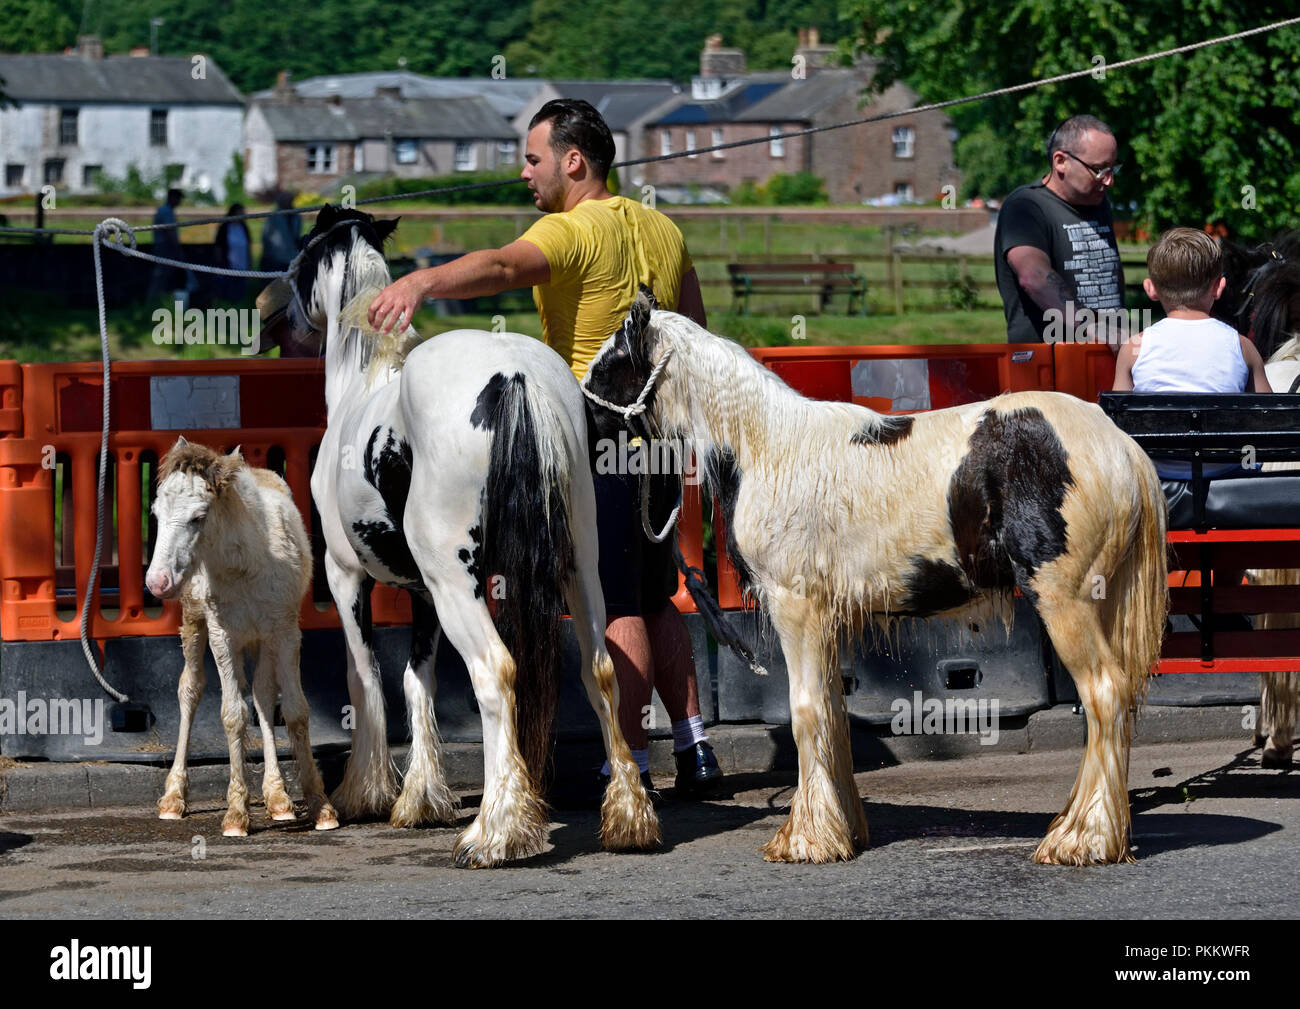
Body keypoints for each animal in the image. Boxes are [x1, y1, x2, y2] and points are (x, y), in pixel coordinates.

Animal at [582, 291, 1170, 868]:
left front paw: (805, 839)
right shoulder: (825, 618)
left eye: (612, 358)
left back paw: (1083, 839)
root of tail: (1121, 446)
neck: (767, 448)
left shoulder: (796, 608)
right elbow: (833, 717)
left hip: (1065, 602)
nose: (583, 423)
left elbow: (805, 712)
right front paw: (841, 830)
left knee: (1105, 694)